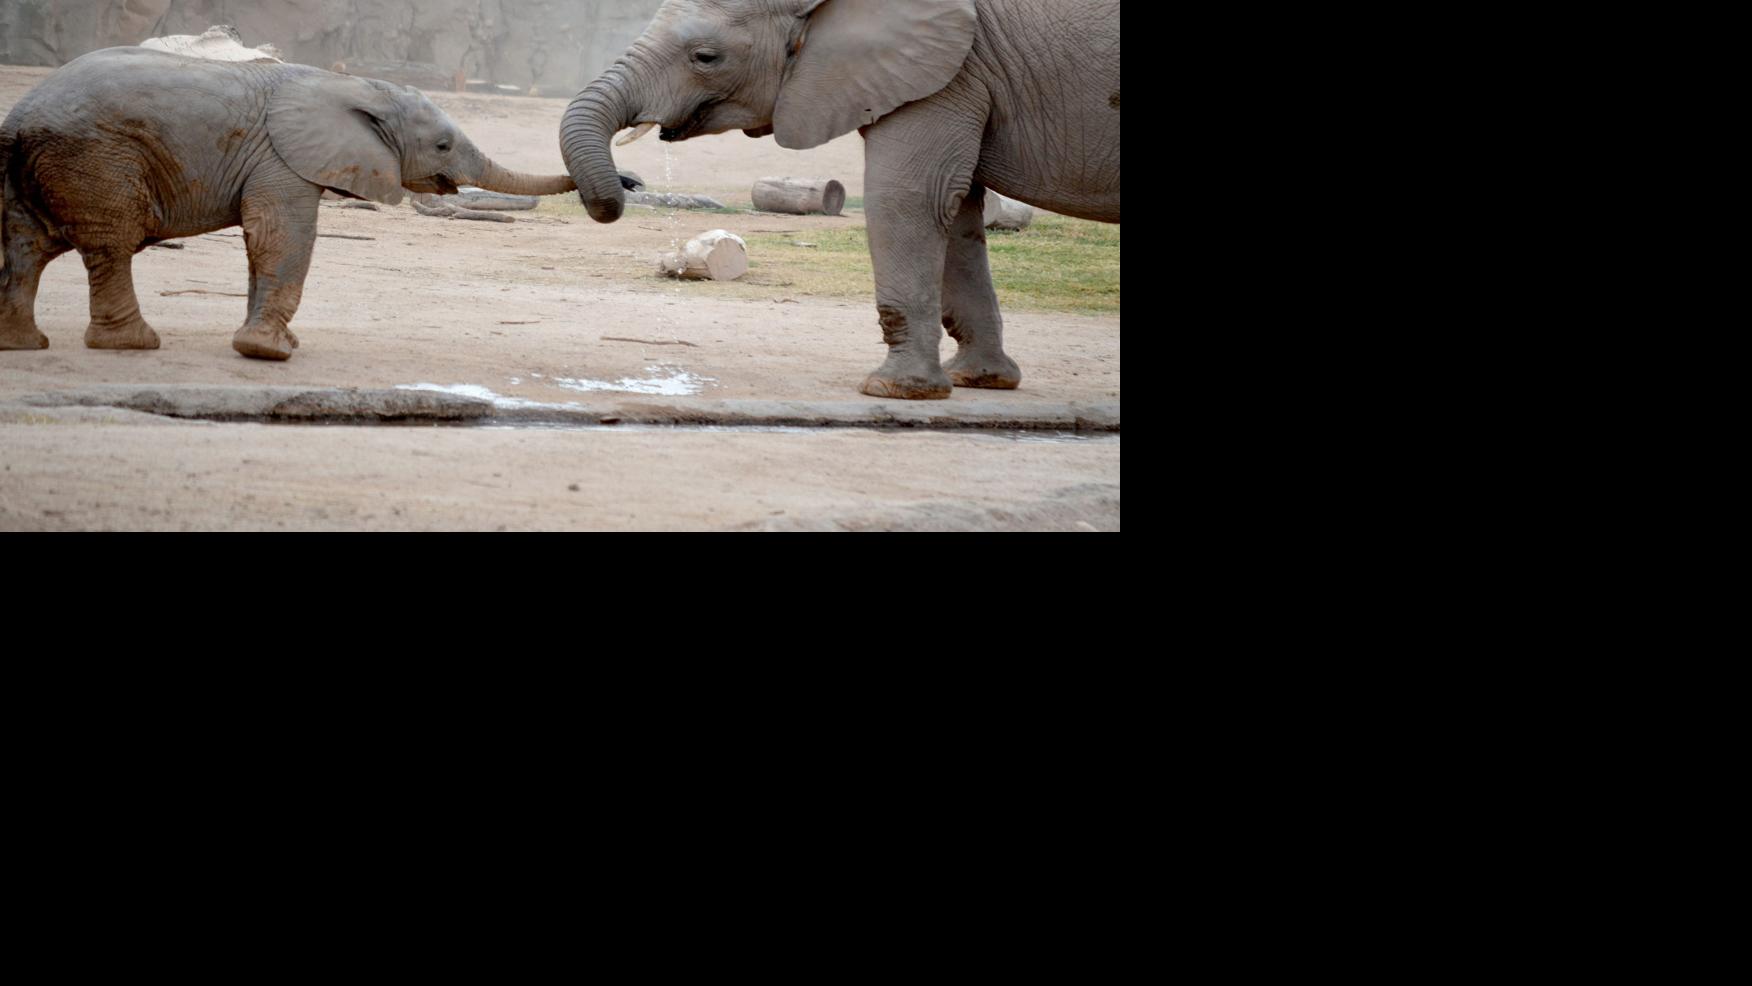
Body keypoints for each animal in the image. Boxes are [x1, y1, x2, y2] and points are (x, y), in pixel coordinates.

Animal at [0, 45, 607, 360]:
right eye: (442, 145)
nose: (623, 184)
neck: (362, 86)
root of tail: (21, 114)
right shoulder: (281, 157)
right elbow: (281, 234)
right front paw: (270, 352)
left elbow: (265, 241)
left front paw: (273, 343)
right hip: (97, 157)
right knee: (110, 244)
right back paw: (132, 344)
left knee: (27, 246)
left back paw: (25, 346)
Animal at [560, 0, 1120, 399]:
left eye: (706, 57)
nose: (629, 185)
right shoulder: (959, 73)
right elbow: (958, 211)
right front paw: (978, 382)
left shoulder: (949, 70)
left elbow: (910, 198)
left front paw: (891, 390)